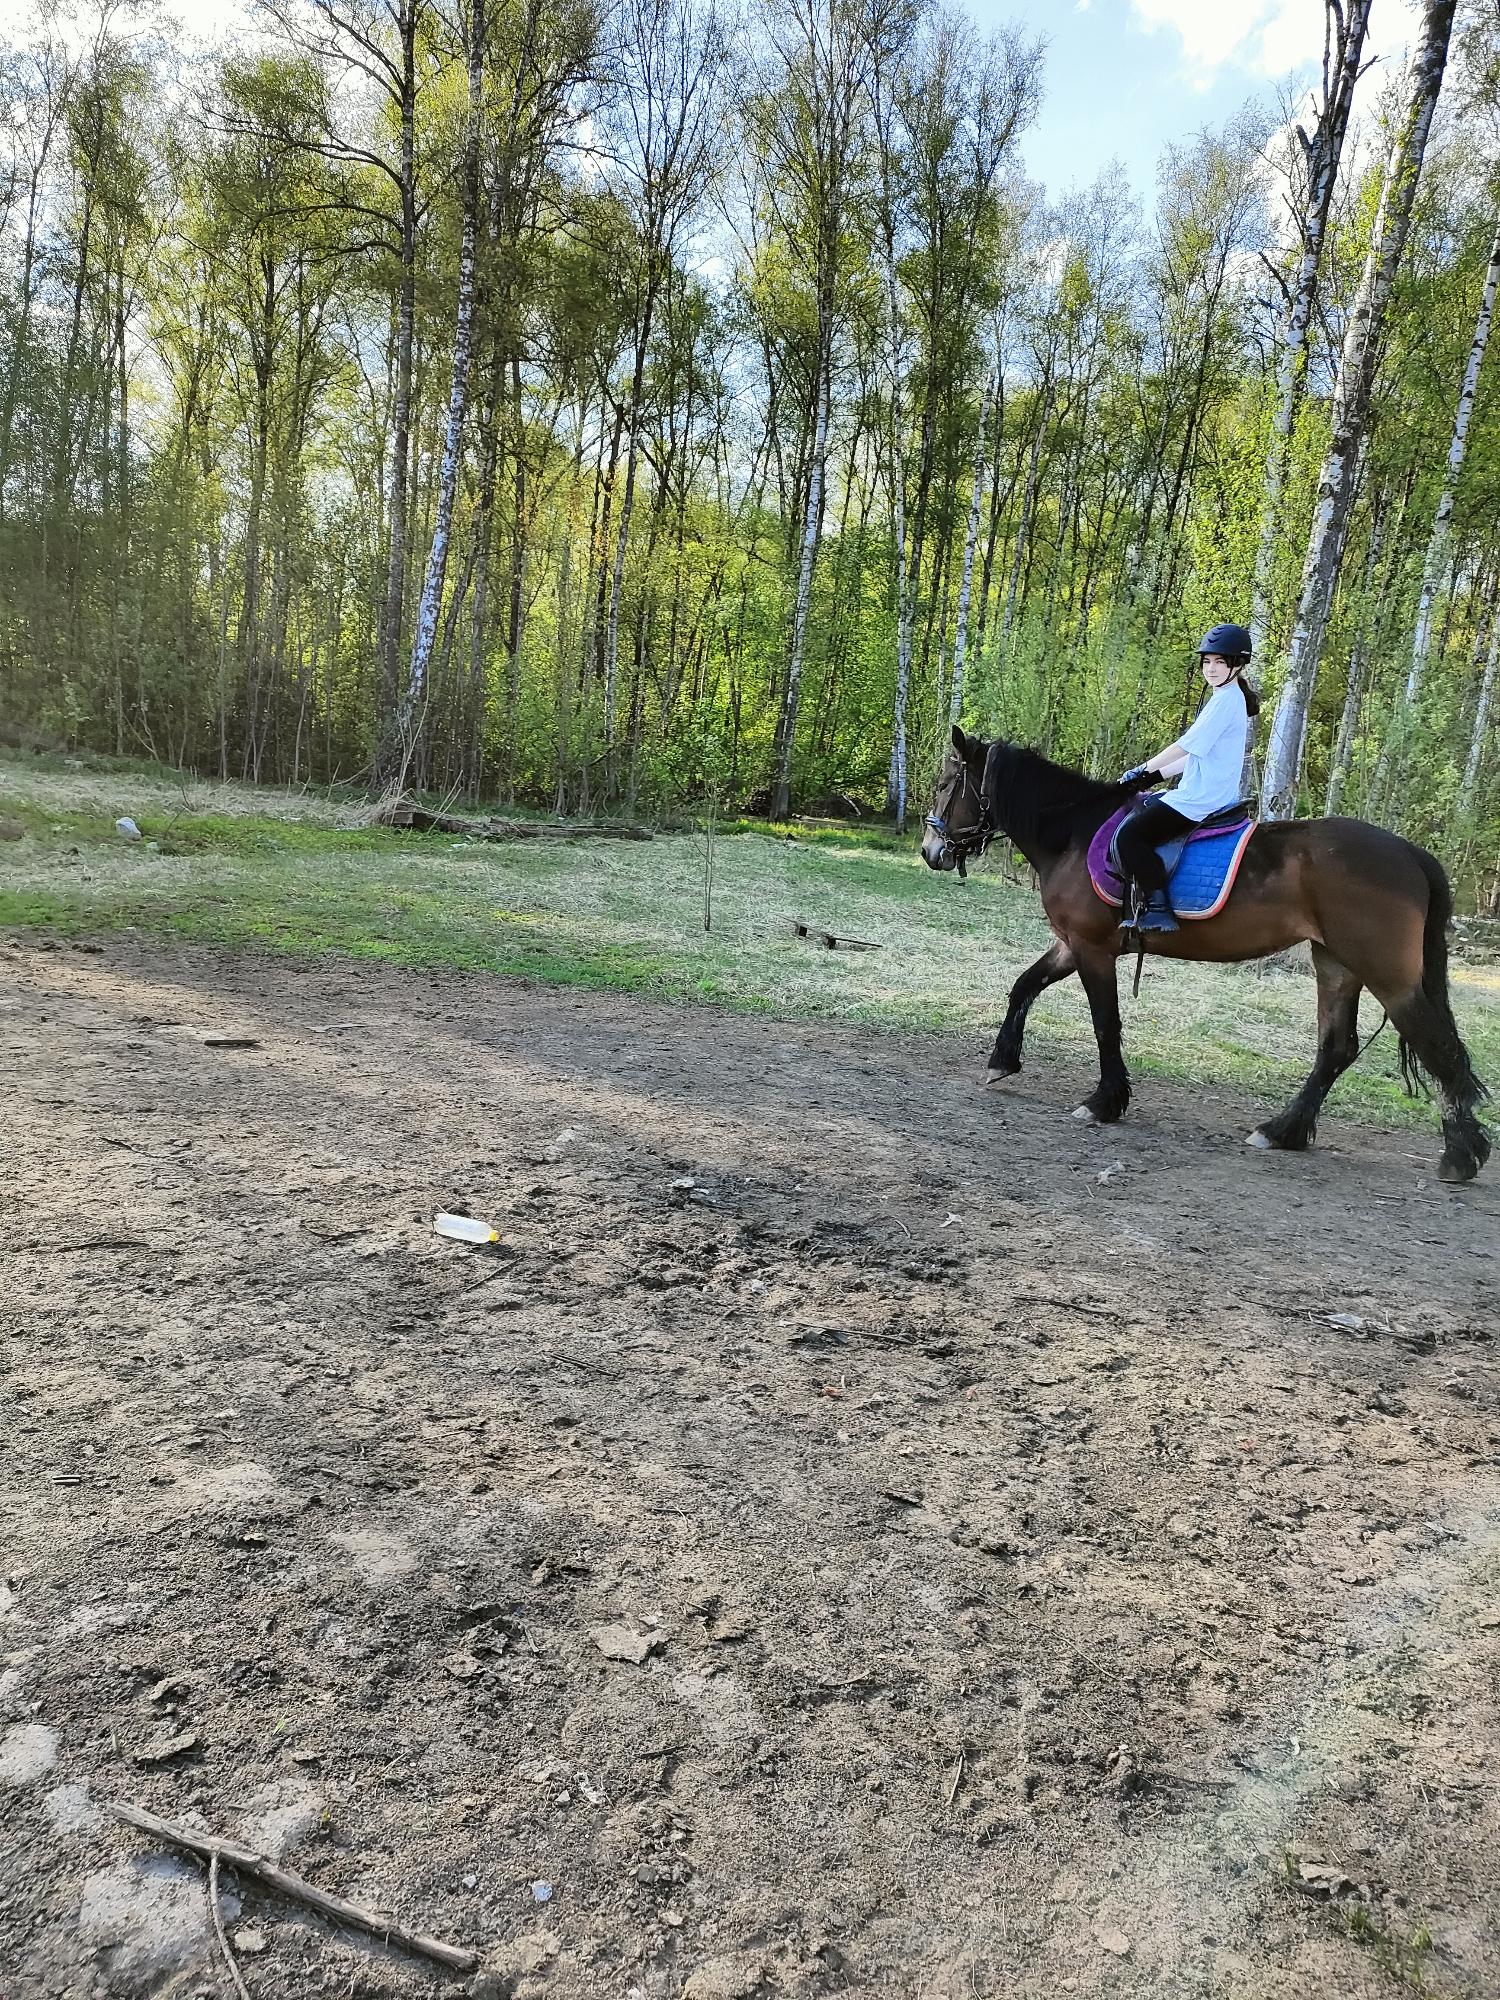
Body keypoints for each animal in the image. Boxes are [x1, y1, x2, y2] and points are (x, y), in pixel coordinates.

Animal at [920, 725, 1492, 1185]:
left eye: (947, 785)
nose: (931, 851)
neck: (1075, 832)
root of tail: (1410, 853)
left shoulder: (1092, 949)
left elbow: (1105, 1022)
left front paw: (1104, 1101)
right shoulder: (1068, 945)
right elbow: (1023, 986)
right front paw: (1002, 1061)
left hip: (1388, 975)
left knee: (1439, 1048)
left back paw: (1461, 1156)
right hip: (1336, 964)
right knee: (1337, 1049)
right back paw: (1283, 1131)